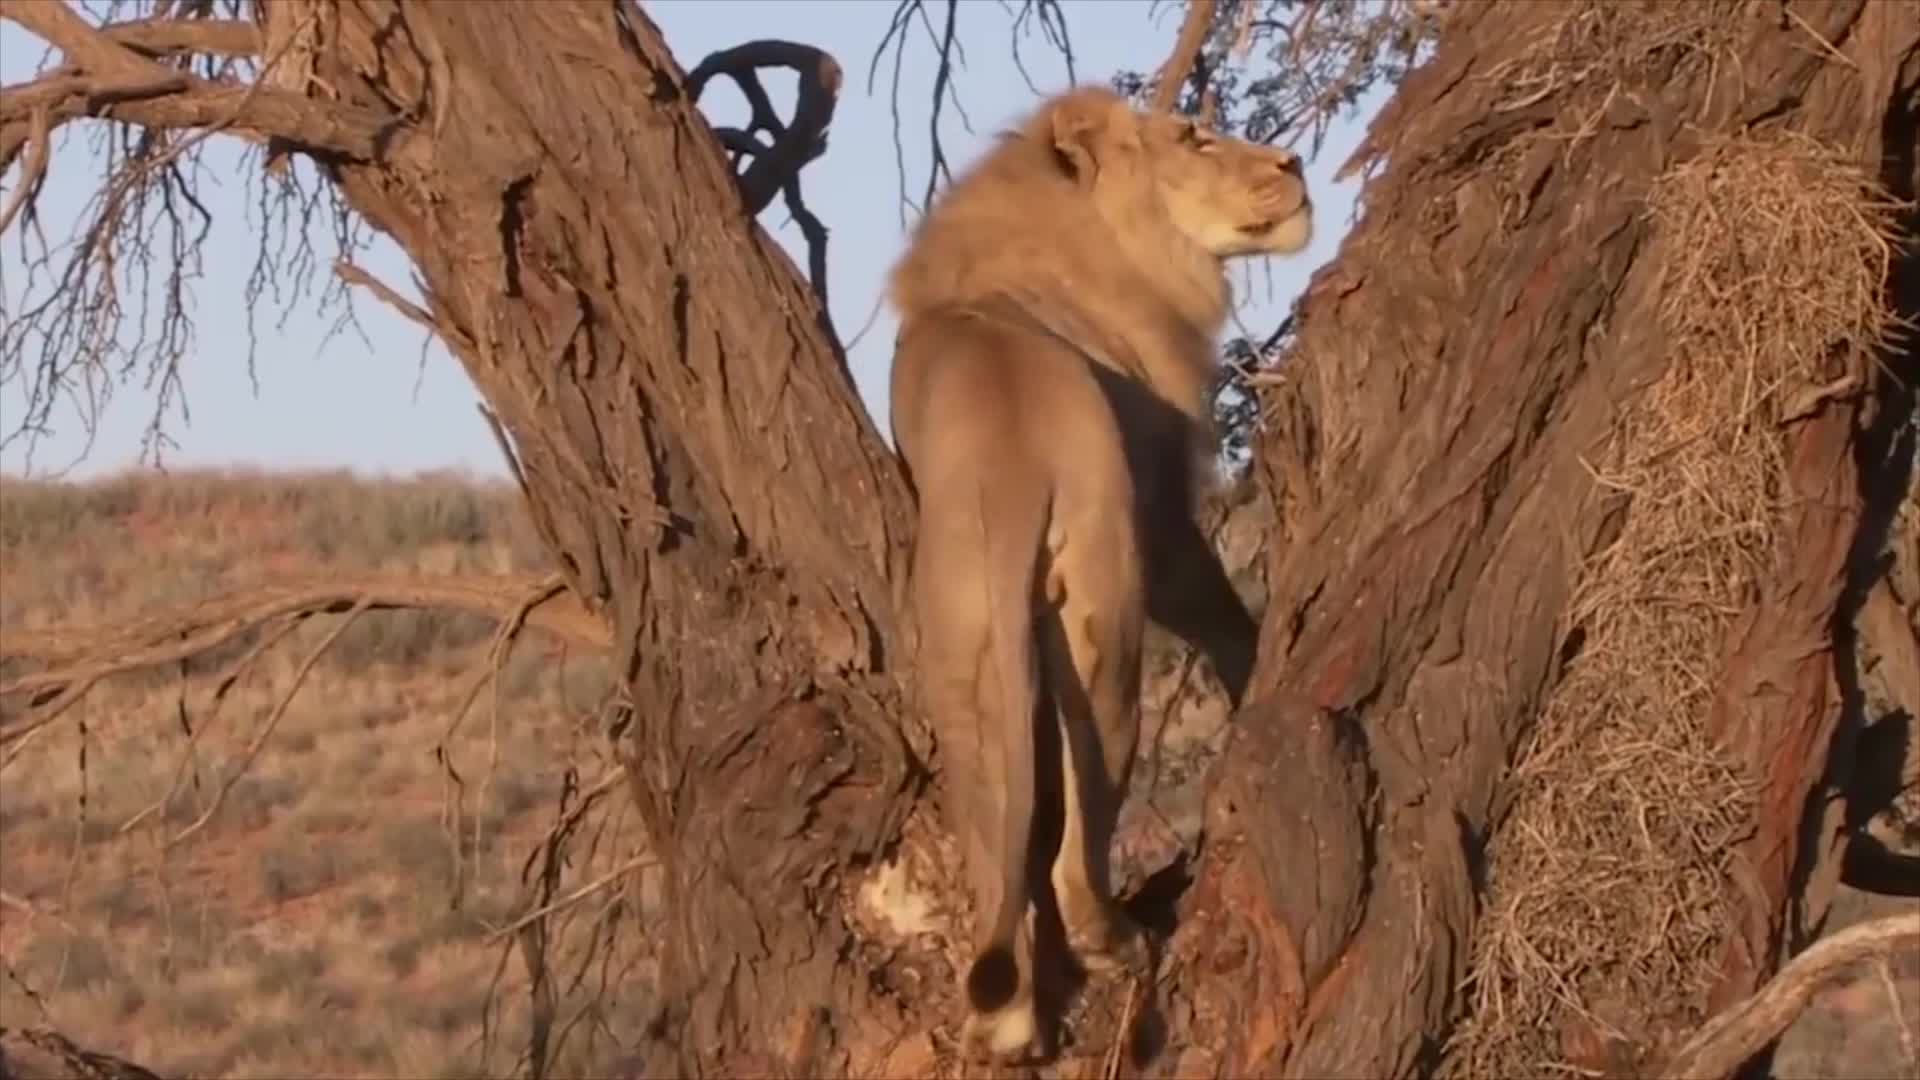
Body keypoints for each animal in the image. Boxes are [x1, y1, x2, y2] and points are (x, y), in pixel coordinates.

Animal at [884, 85, 1314, 1063]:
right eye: (1193, 137)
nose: (1294, 165)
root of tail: (1004, 462)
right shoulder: (1160, 513)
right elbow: (1226, 619)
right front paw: (1258, 665)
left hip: (961, 651)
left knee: (996, 839)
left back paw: (1006, 1021)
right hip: (1105, 618)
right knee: (1077, 853)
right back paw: (1114, 938)